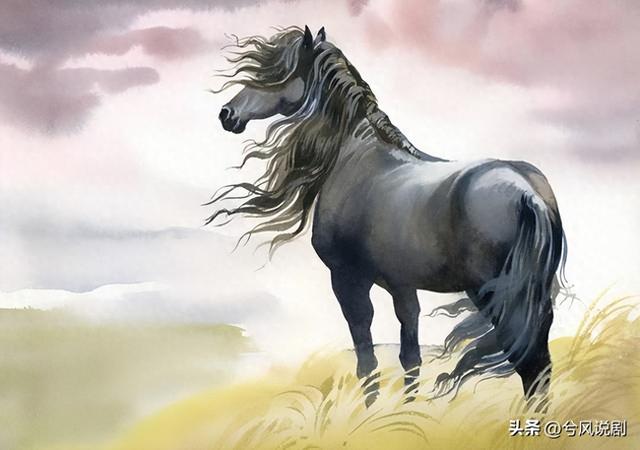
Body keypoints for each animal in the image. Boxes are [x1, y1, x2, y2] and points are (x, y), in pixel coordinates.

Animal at [208, 25, 567, 406]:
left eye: (274, 73)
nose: (227, 113)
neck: (357, 157)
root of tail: (527, 192)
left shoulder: (349, 280)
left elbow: (366, 359)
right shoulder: (403, 287)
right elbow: (410, 357)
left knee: (530, 364)